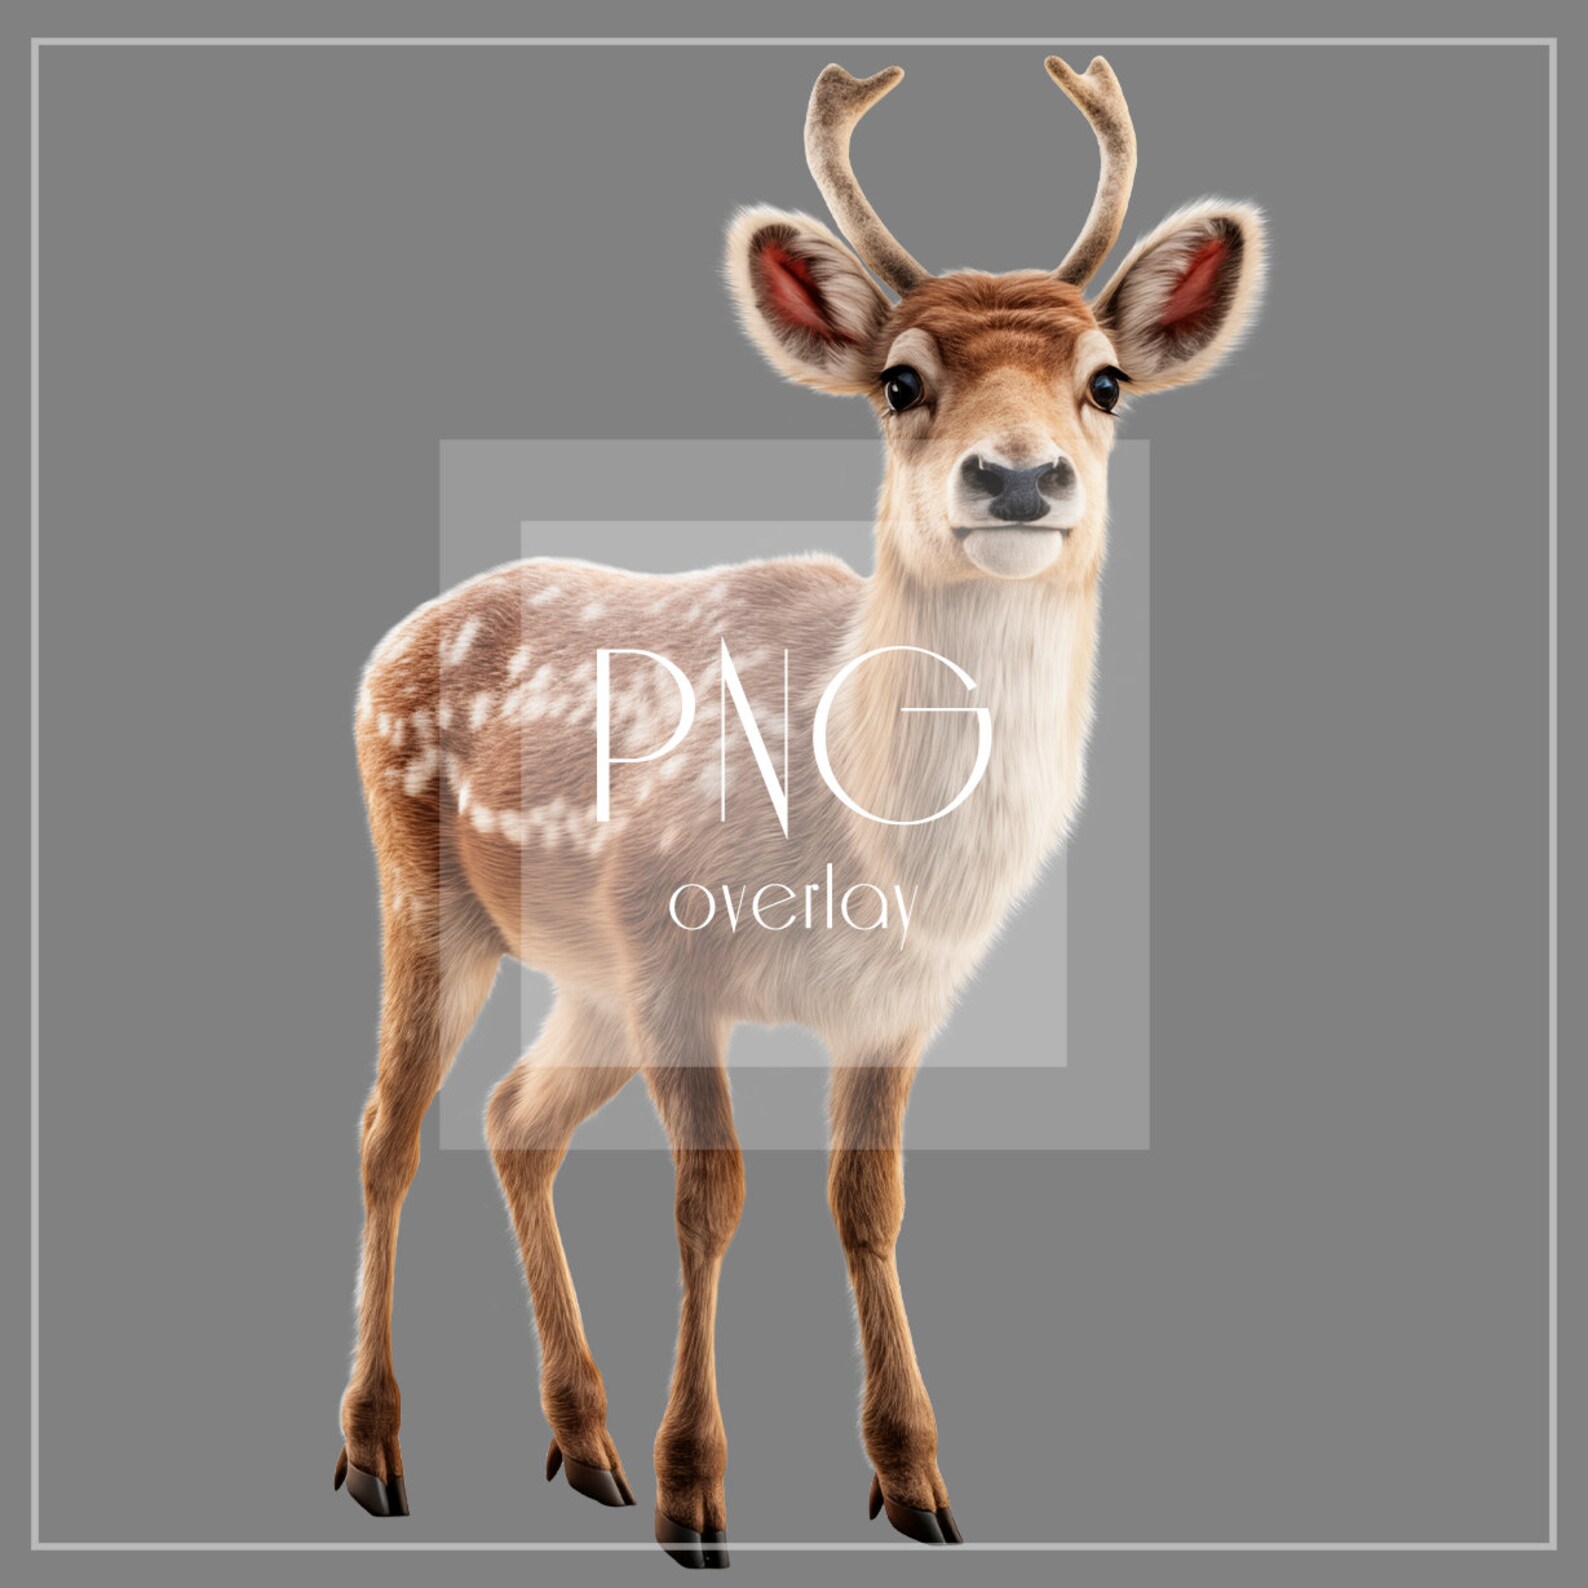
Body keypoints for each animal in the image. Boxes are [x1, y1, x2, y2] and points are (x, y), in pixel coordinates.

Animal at [334, 55, 1265, 1566]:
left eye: (1106, 381)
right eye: (900, 379)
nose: (1019, 477)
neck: (862, 844)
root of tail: (398, 637)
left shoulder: (896, 999)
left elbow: (865, 1207)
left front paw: (914, 1478)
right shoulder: (670, 949)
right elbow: (709, 1201)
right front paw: (695, 1494)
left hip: (583, 978)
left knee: (515, 1117)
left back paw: (580, 1443)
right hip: (426, 886)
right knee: (389, 1131)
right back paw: (374, 1450)